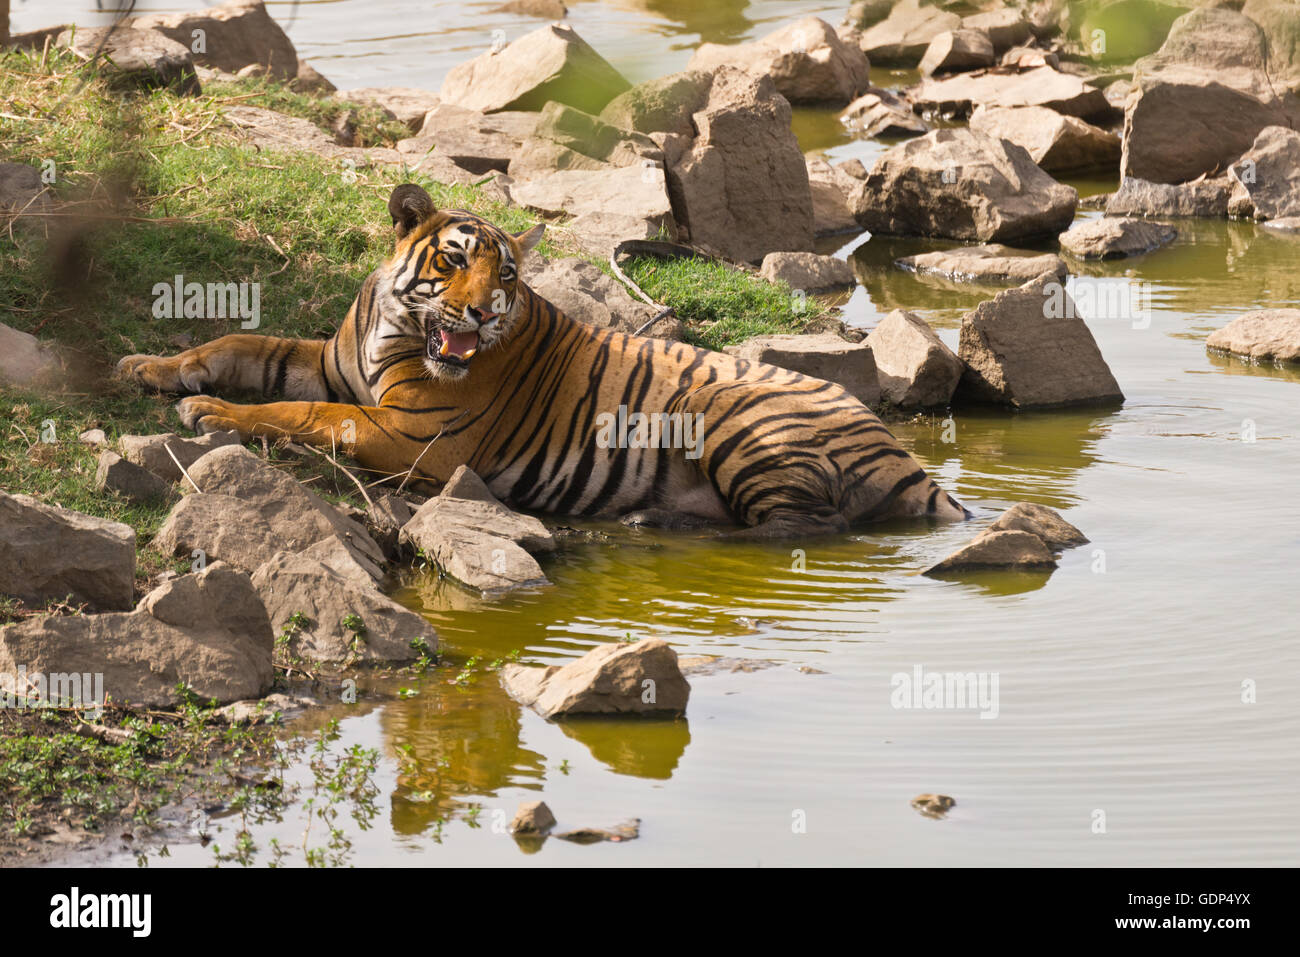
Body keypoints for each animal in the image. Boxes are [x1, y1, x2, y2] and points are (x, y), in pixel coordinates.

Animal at [117, 183, 967, 538]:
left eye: (507, 274)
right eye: (456, 260)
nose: (485, 311)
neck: (397, 327)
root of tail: (906, 457)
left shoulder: (408, 433)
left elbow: (302, 411)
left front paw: (210, 411)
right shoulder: (331, 364)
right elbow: (239, 345)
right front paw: (147, 366)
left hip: (737, 424)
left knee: (807, 527)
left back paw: (669, 527)